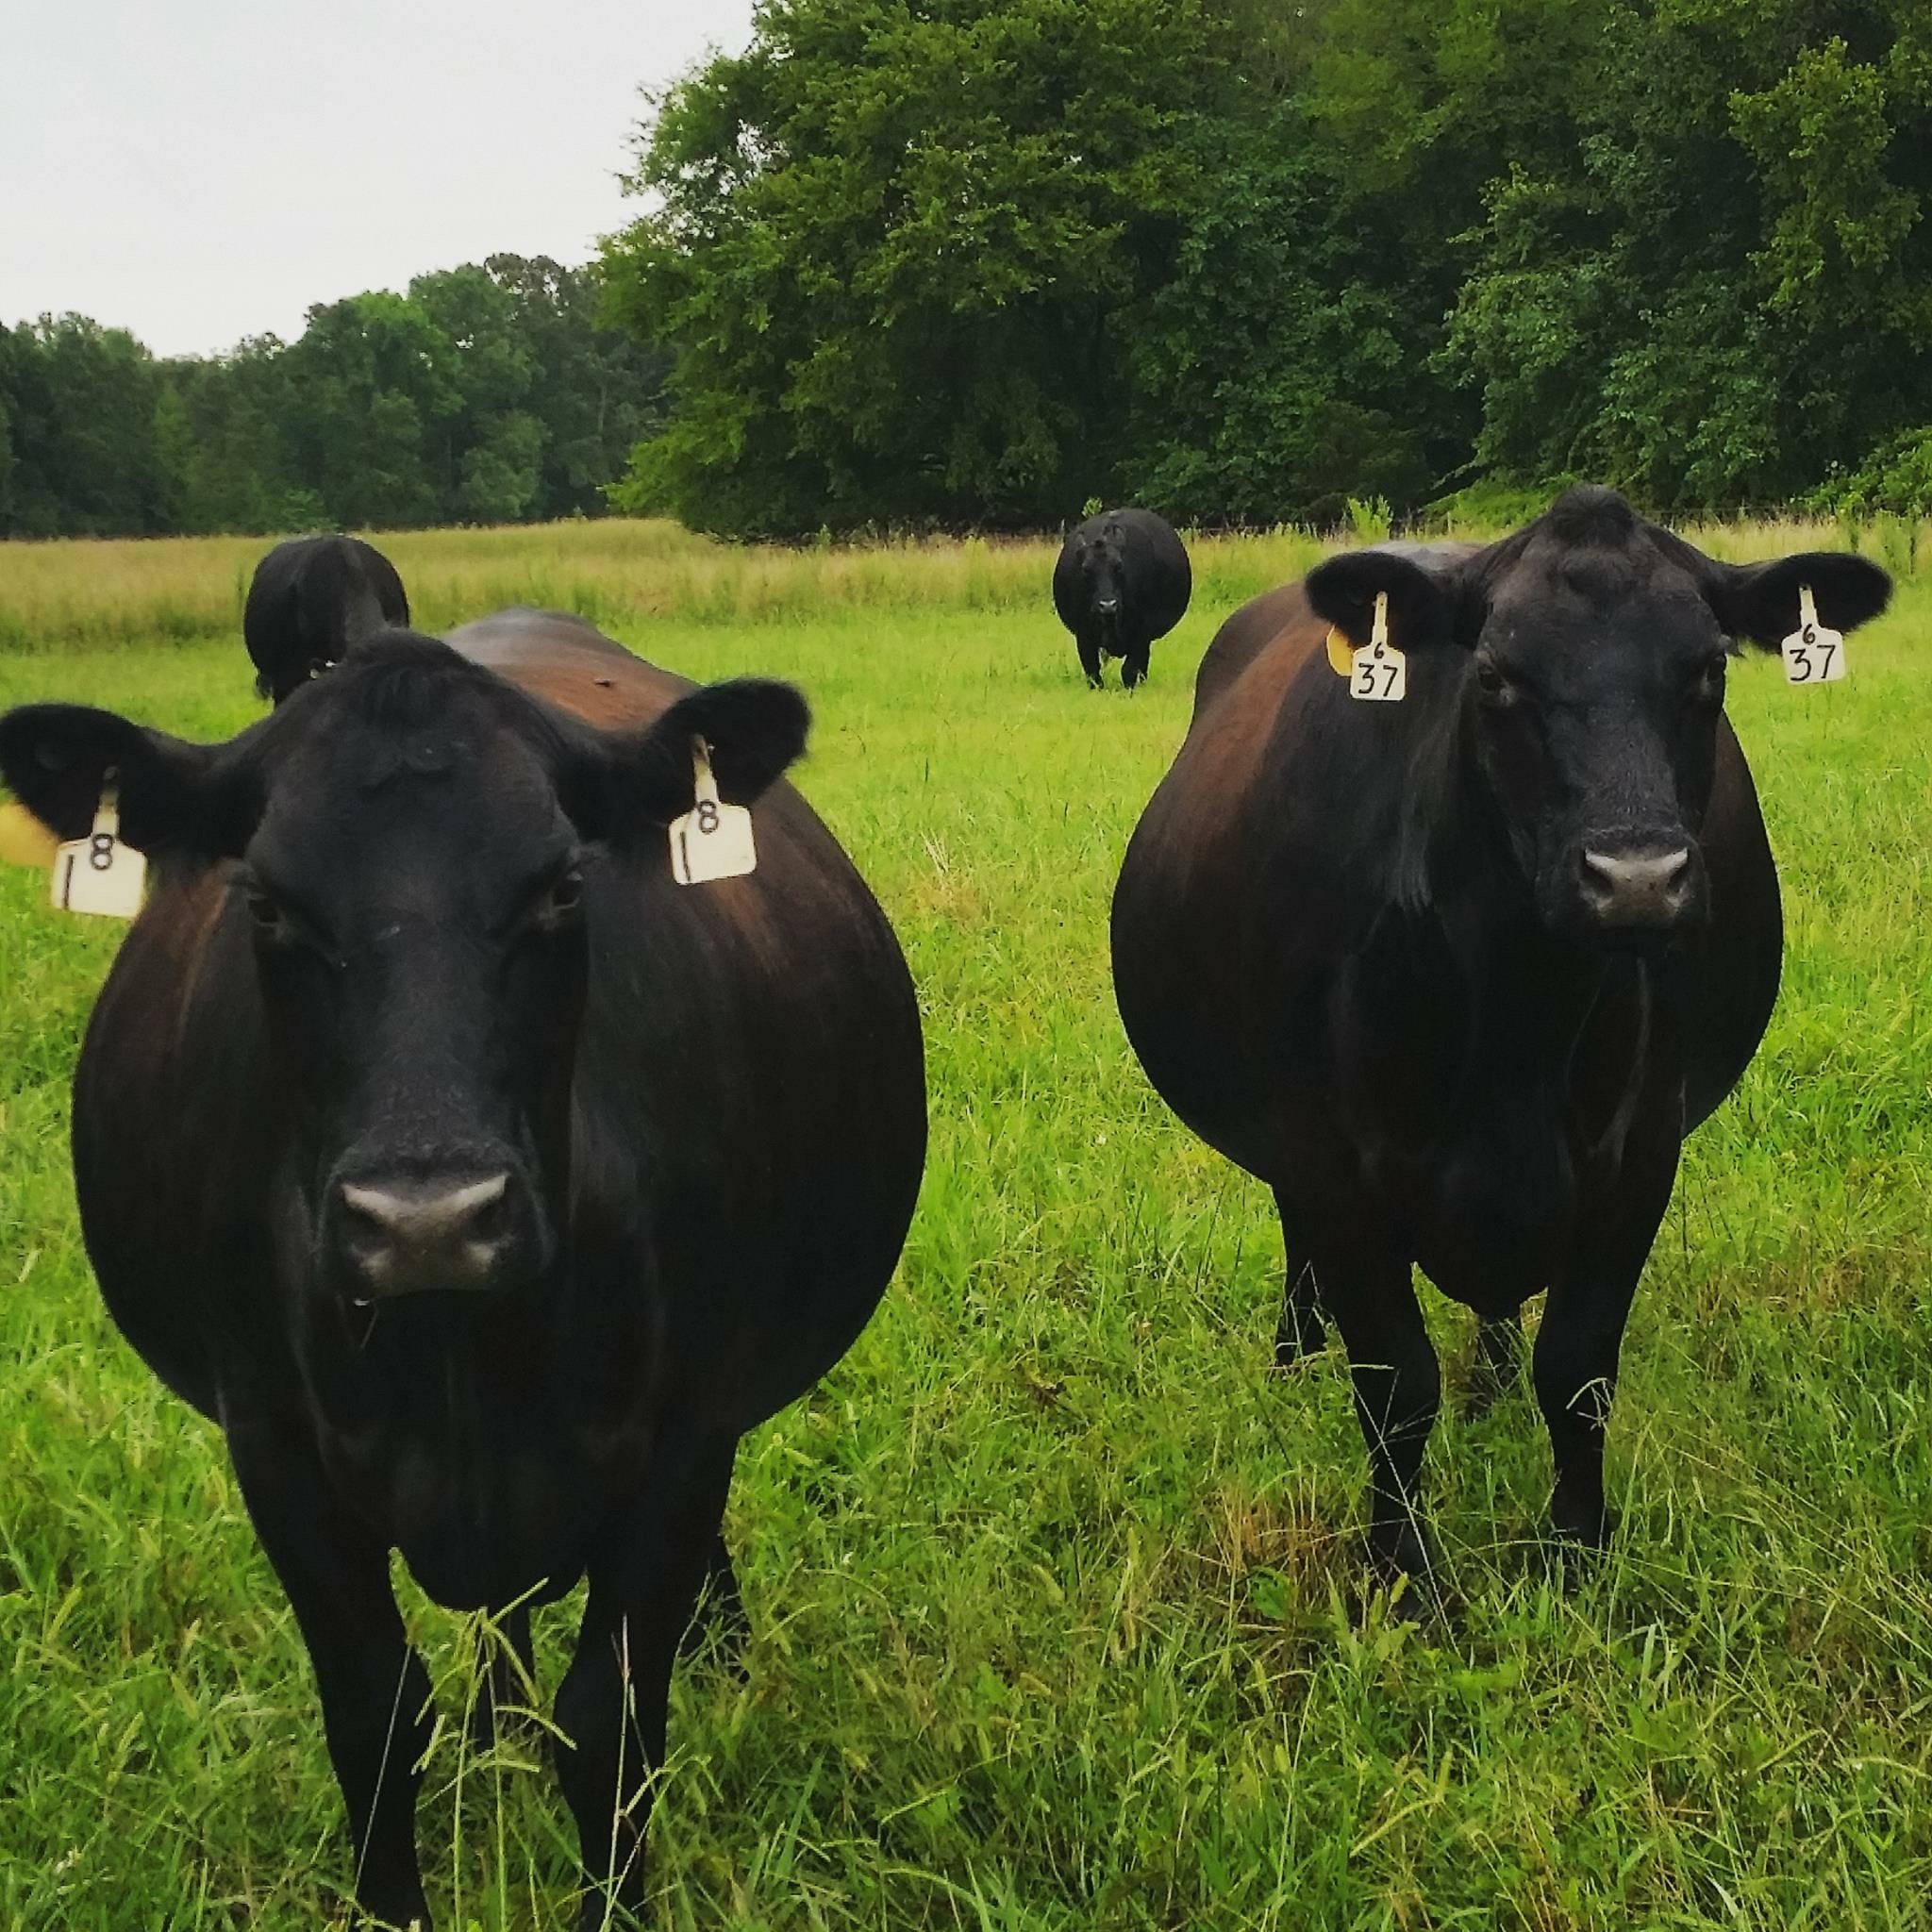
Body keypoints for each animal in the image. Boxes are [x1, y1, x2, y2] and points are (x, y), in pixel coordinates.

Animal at [0, 607, 926, 1930]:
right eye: (266, 905)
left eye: (561, 887)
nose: (427, 1218)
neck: (465, 1362)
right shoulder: (275, 1448)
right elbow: (375, 1717)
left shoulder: (683, 1433)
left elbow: (612, 1725)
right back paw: (497, 1731)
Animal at [1052, 508, 1192, 689]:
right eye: (1086, 569)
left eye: (1118, 565)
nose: (1108, 605)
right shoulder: (1083, 633)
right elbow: (1092, 672)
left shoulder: (1142, 631)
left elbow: (1130, 669)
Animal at [1110, 487, 1889, 1579]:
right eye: (1493, 676)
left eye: (1708, 669)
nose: (1635, 878)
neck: (1517, 1022)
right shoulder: (1328, 1158)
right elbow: (1394, 1382)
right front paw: (1401, 1570)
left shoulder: (1640, 1149)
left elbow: (1577, 1371)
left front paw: (1575, 1550)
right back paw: (1294, 1360)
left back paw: (1491, 1379)